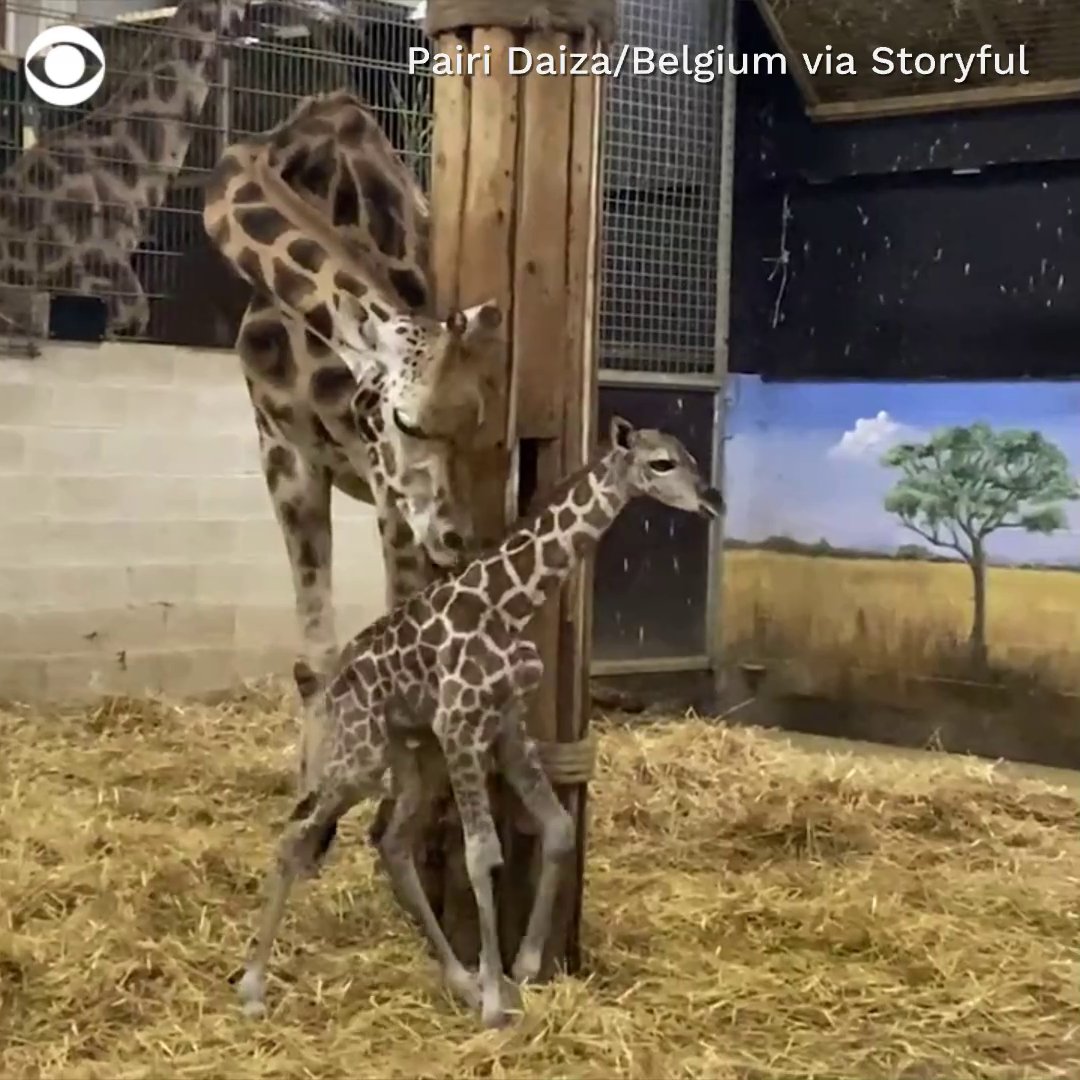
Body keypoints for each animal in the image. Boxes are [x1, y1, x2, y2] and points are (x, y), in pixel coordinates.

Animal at [203, 90, 505, 679]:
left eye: (476, 423)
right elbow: (319, 658)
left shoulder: (385, 482)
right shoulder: (285, 454)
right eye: (405, 420)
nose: (455, 537)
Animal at [236, 413, 725, 1028]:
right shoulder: (460, 722)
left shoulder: (504, 723)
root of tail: (336, 682)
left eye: (691, 455)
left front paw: (524, 966)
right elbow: (481, 853)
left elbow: (557, 827)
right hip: (363, 756)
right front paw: (496, 1001)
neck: (510, 604)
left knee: (389, 841)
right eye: (661, 463)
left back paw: (459, 980)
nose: (713, 500)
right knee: (298, 832)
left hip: (411, 753)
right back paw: (252, 986)